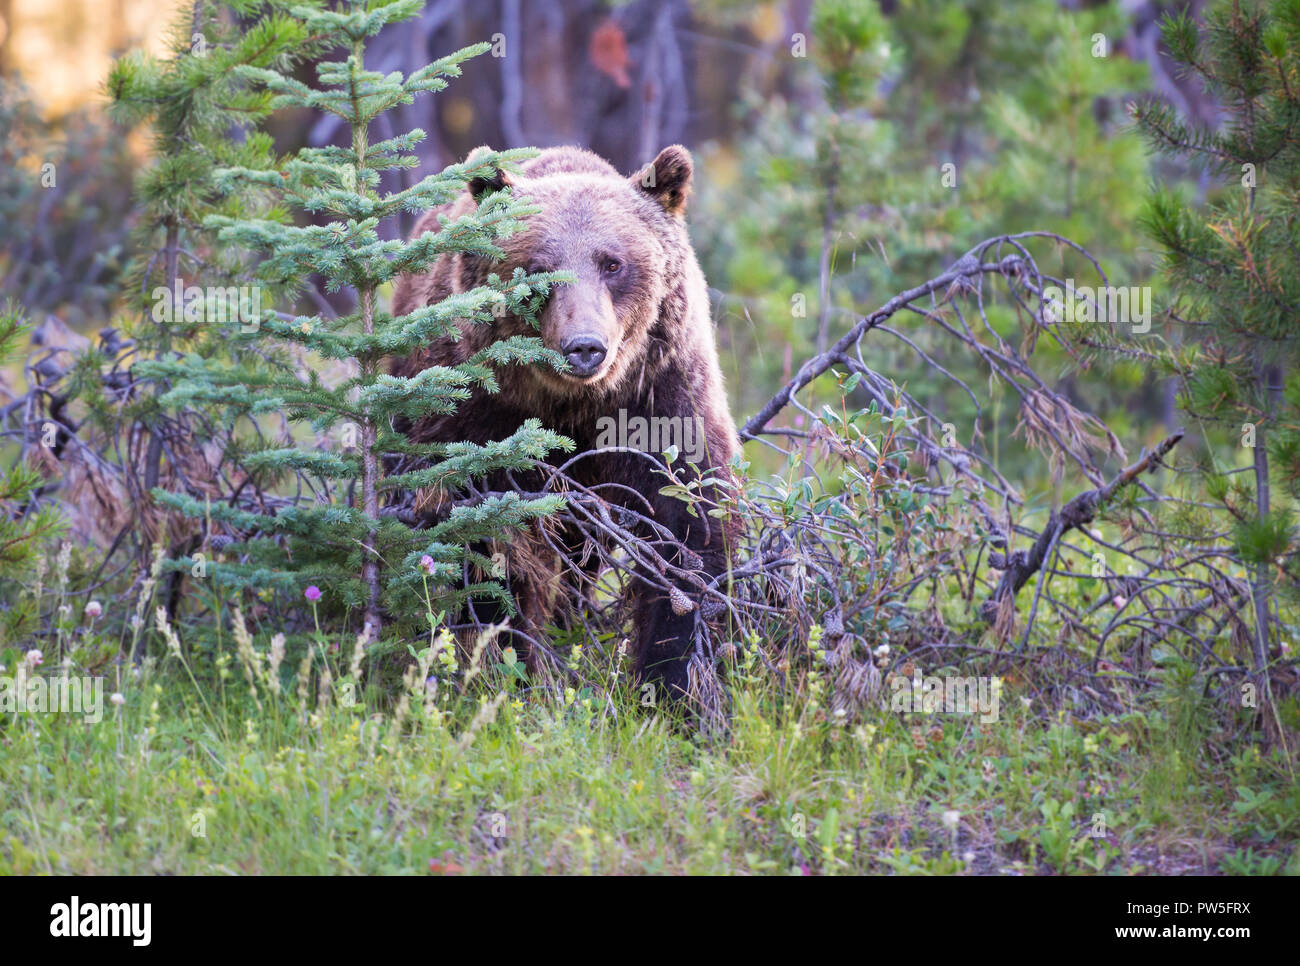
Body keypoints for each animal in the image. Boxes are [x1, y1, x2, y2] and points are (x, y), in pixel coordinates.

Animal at [390, 144, 740, 699]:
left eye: (613, 263)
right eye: (538, 268)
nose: (584, 347)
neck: (572, 405)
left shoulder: (661, 393)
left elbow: (691, 519)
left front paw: (674, 680)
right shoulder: (479, 414)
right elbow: (487, 541)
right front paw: (507, 664)